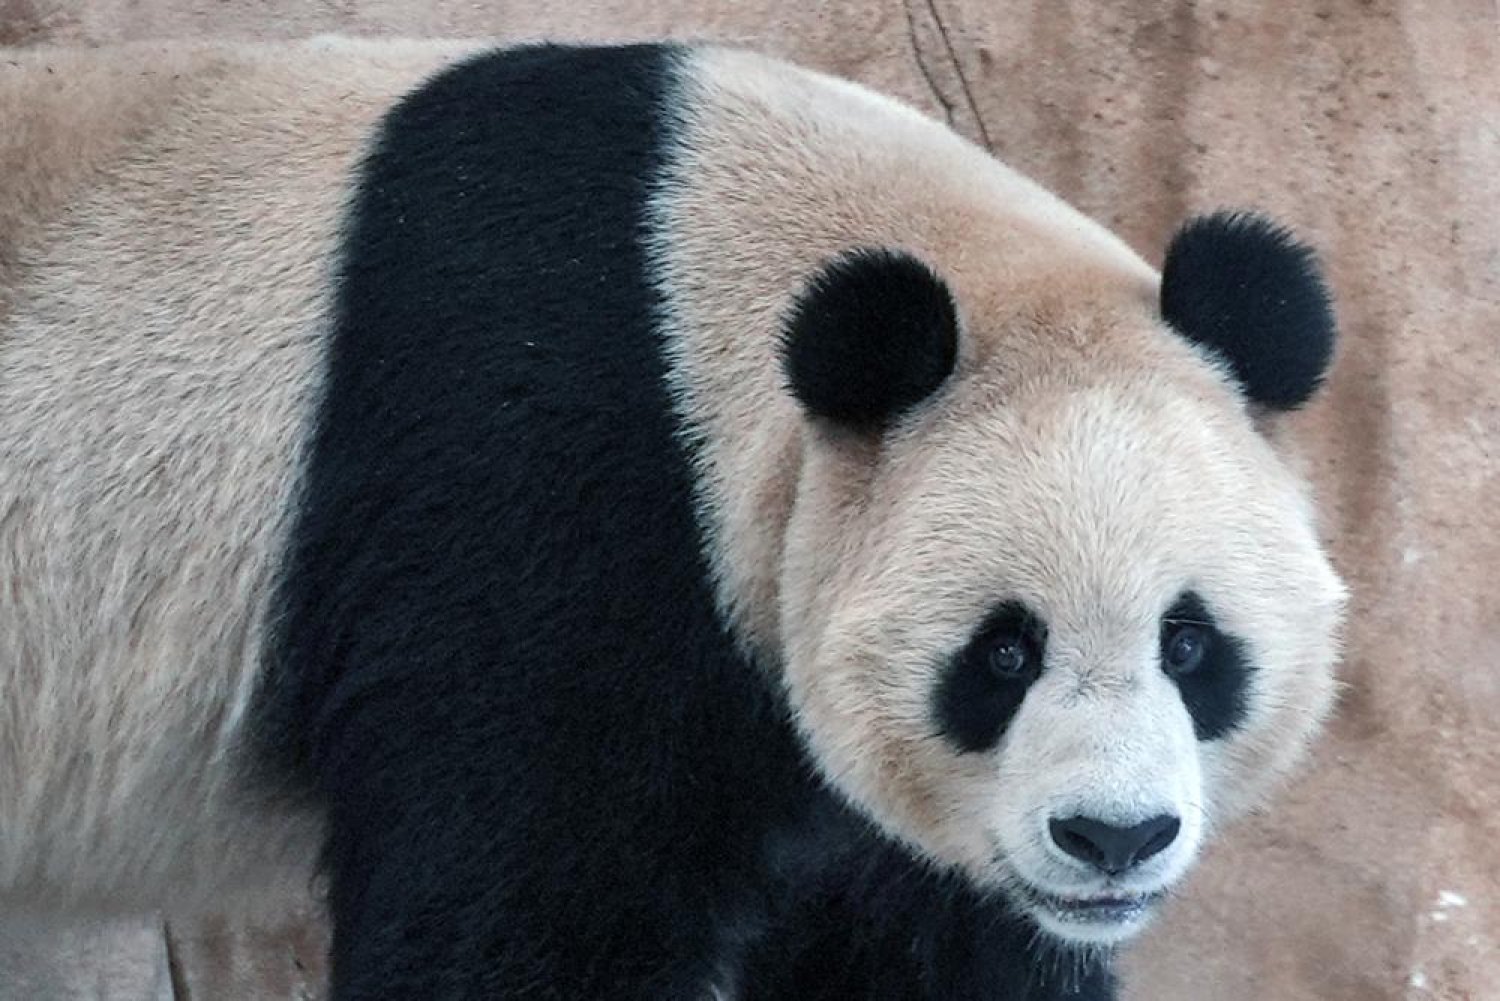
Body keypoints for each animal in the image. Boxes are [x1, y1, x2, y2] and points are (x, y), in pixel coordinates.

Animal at [0, 38, 1345, 1000]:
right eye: (1003, 651)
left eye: (1192, 642)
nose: (1114, 838)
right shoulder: (536, 492)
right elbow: (529, 908)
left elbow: (913, 928)